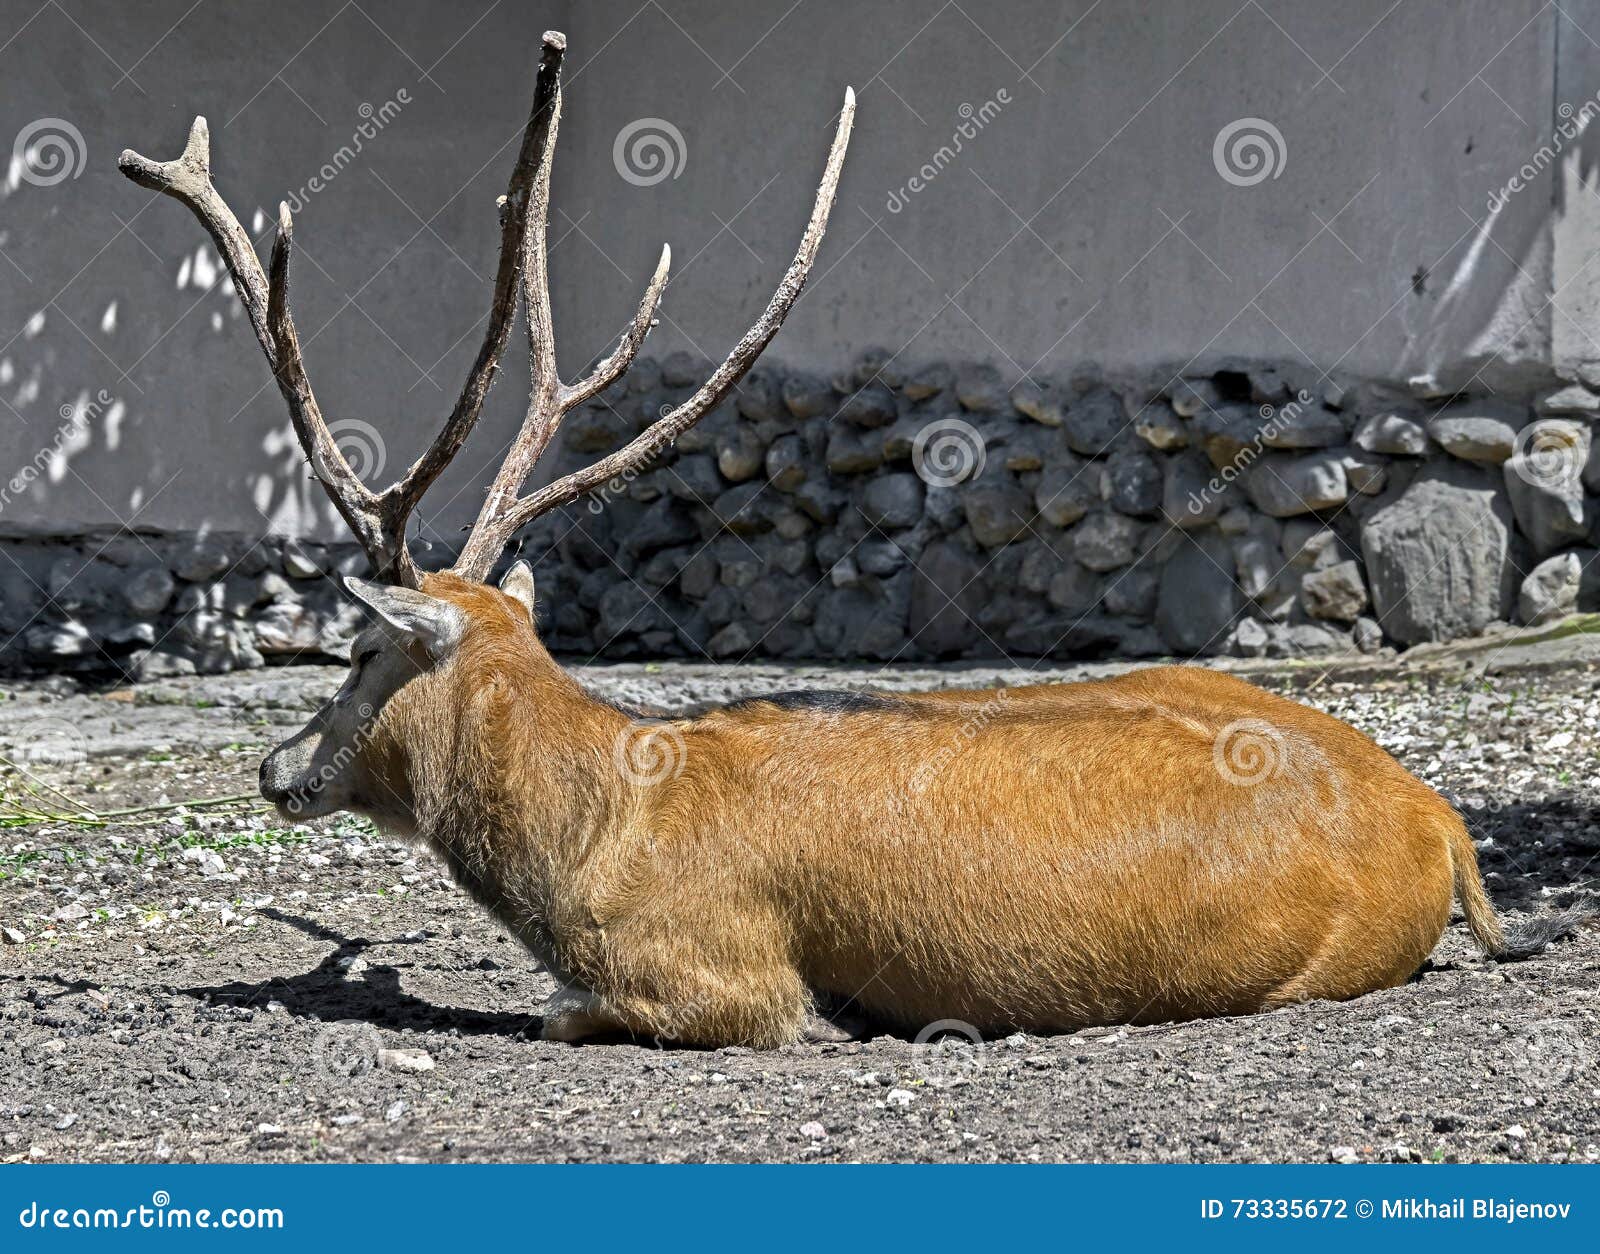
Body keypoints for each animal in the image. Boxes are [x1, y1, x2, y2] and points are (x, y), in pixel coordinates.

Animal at [121, 32, 1590, 1049]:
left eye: (360, 650)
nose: (275, 765)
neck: (596, 828)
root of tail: (1440, 822)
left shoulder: (707, 974)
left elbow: (578, 1009)